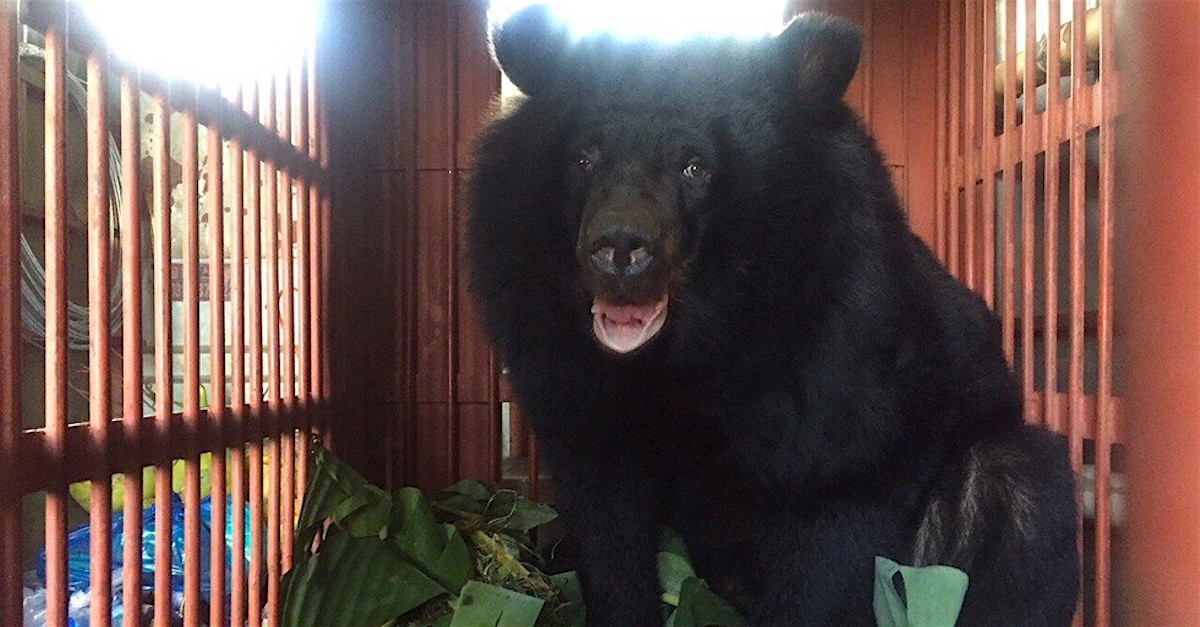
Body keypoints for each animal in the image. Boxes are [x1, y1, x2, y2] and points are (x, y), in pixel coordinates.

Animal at [466, 6, 1079, 626]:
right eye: (583, 159)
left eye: (695, 167)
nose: (618, 248)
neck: (684, 348)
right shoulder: (558, 356)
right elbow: (604, 515)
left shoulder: (839, 355)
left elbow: (828, 521)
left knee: (1016, 499)